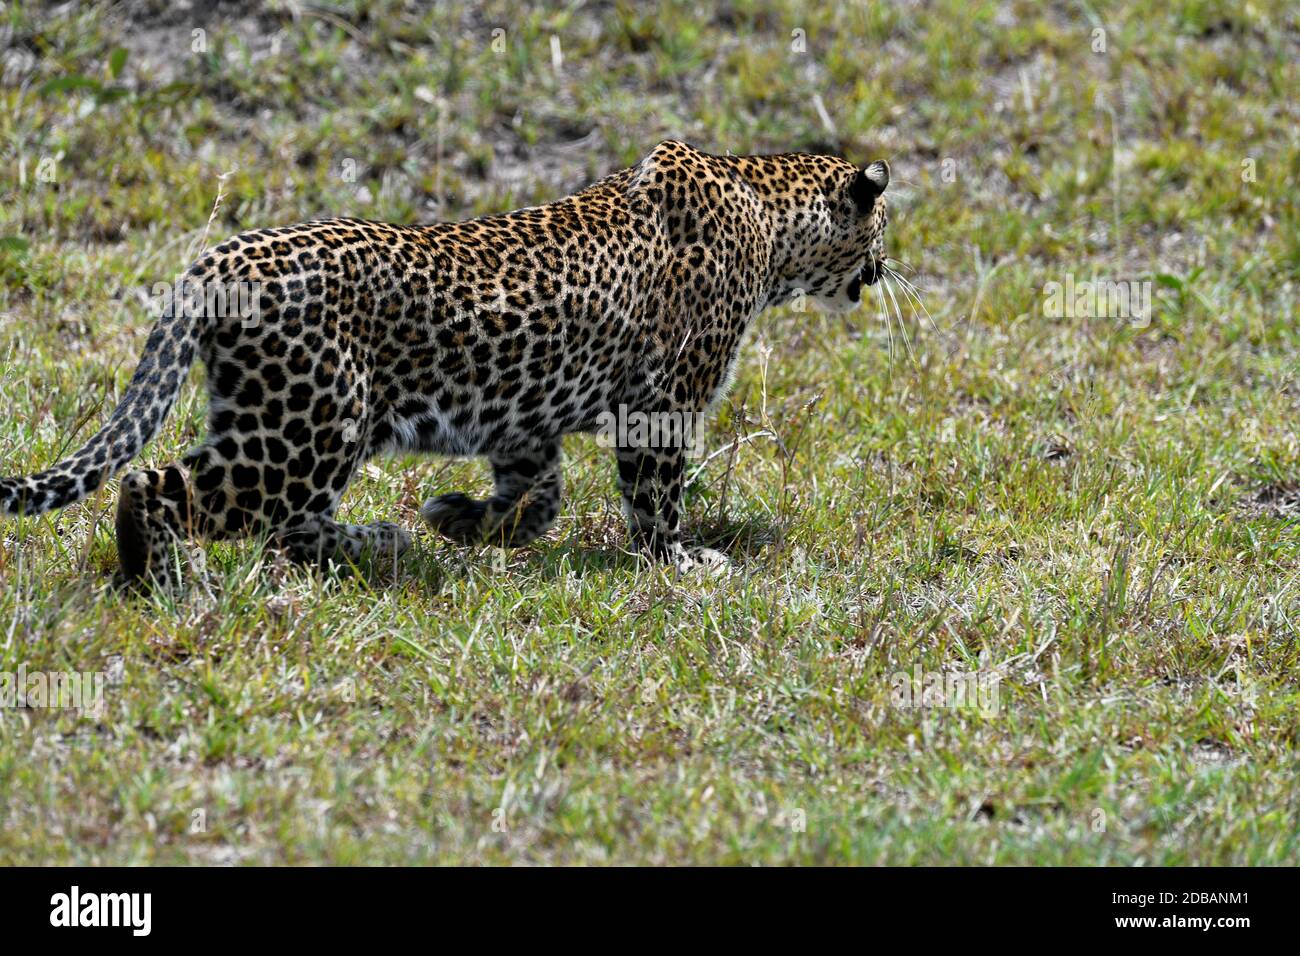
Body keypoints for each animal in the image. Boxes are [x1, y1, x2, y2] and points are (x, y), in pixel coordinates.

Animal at [0, 140, 890, 589]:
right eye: (882, 227)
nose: (886, 267)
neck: (772, 217)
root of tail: (217, 263)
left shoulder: (526, 421)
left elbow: (539, 495)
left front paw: (464, 521)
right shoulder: (663, 403)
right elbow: (656, 495)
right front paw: (679, 560)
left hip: (297, 427)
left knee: (292, 526)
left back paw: (385, 544)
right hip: (303, 432)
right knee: (160, 485)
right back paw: (156, 581)